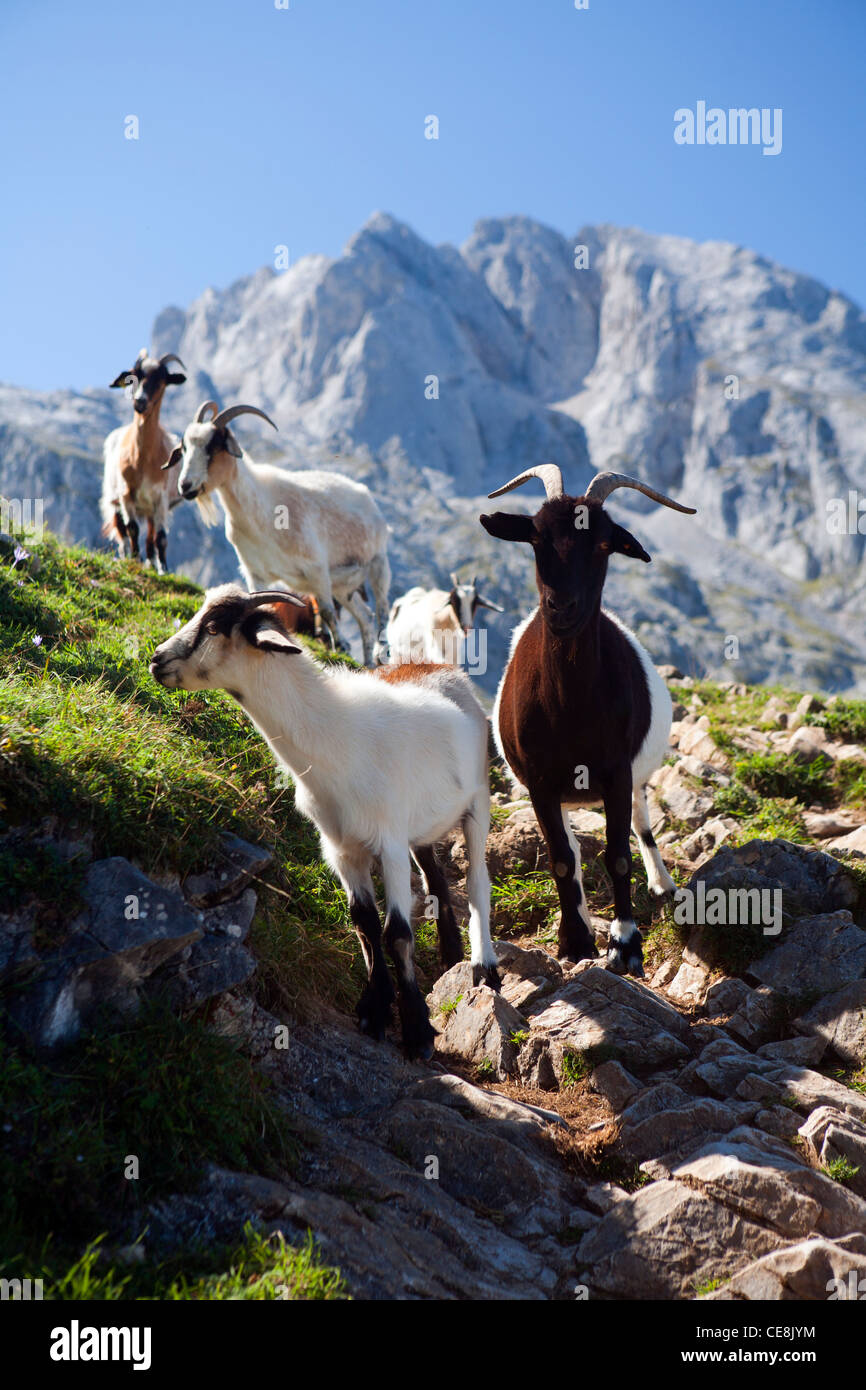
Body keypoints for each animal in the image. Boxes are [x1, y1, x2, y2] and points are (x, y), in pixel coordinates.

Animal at [101, 349, 187, 572]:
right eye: (133, 376)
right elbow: (131, 529)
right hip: (114, 498)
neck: (143, 460)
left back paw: (152, 561)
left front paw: (163, 568)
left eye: (161, 379)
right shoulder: (126, 493)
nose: (140, 401)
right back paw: (128, 555)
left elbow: (161, 537)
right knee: (121, 529)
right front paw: (134, 559)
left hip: (150, 507)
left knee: (151, 532)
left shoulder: (161, 497)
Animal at [149, 584, 499, 1057]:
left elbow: (396, 933)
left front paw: (417, 1031)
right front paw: (374, 1008)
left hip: (476, 800)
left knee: (478, 881)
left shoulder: (388, 842)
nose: (157, 659)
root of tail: (443, 669)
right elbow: (364, 923)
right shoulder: (341, 848)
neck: (334, 742)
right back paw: (450, 952)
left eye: (215, 626)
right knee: (437, 877)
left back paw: (484, 967)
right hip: (422, 823)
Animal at [165, 402, 391, 665]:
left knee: (382, 610)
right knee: (365, 616)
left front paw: (341, 646)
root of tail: (366, 497)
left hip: (377, 562)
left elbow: (327, 611)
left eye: (214, 445)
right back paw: (368, 663)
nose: (186, 487)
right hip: (344, 584)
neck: (260, 511)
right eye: (184, 448)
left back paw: (381, 653)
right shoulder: (255, 571)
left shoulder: (316, 568)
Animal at [480, 466, 696, 978]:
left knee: (641, 824)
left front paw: (626, 944)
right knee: (576, 852)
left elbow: (618, 856)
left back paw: (663, 885)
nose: (562, 609)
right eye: (536, 538)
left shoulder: (617, 771)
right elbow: (562, 859)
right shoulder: (539, 782)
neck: (570, 708)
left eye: (602, 544)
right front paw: (575, 940)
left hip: (633, 776)